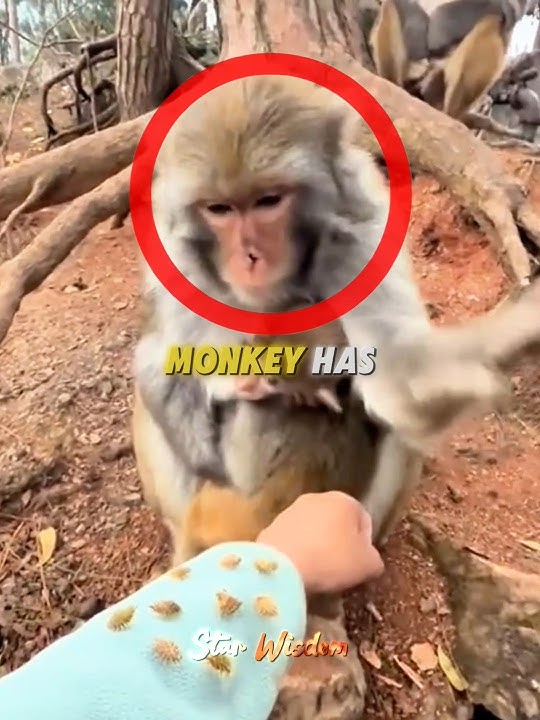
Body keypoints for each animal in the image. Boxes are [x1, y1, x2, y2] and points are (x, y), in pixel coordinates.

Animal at [133, 75, 540, 569]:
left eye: (268, 201)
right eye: (219, 209)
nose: (249, 257)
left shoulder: (363, 238)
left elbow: (402, 382)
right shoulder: (174, 254)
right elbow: (161, 362)